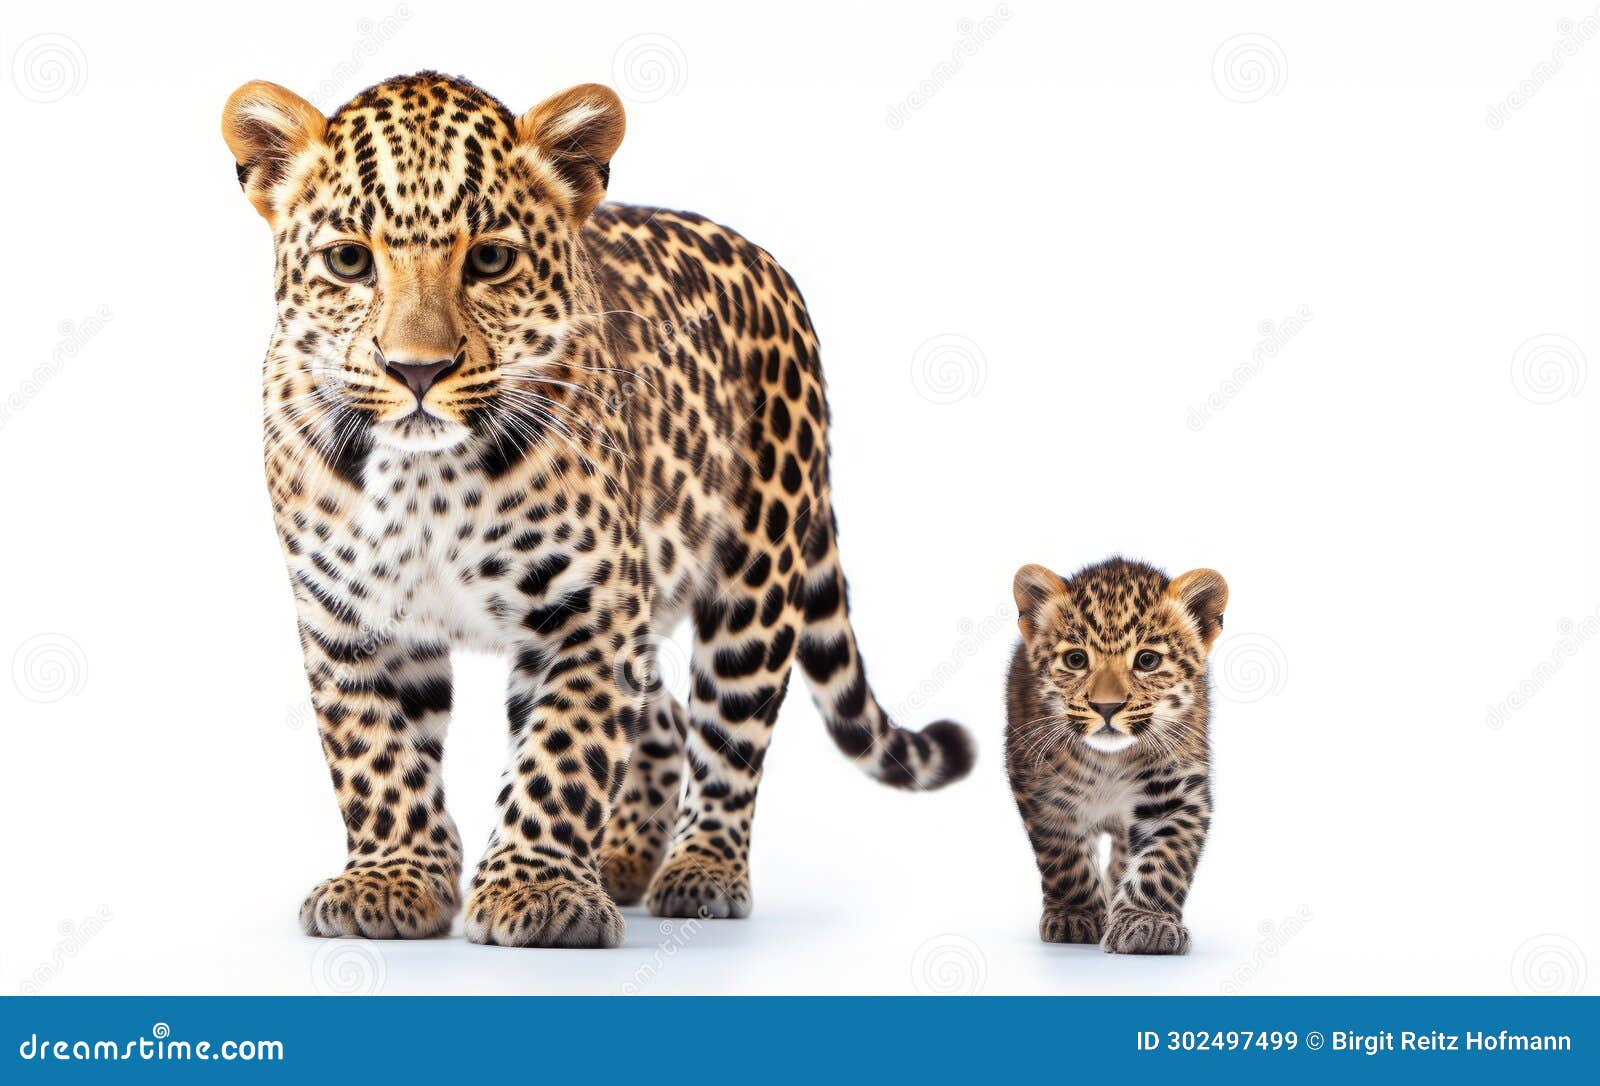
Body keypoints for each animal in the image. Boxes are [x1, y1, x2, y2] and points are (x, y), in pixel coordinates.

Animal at [221, 71, 974, 948]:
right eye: (349, 260)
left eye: (490, 259)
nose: (418, 371)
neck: (426, 480)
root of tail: (766, 262)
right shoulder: (349, 617)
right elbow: (376, 754)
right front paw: (394, 879)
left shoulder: (589, 608)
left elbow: (562, 752)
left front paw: (537, 891)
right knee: (666, 723)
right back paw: (623, 859)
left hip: (758, 569)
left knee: (727, 735)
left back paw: (698, 872)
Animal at [1004, 557, 1227, 955]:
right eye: (1076, 659)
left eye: (1147, 660)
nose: (1106, 707)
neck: (1111, 763)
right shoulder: (1043, 793)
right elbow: (1065, 859)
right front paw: (1074, 917)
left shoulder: (1176, 793)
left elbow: (1163, 860)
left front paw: (1148, 923)